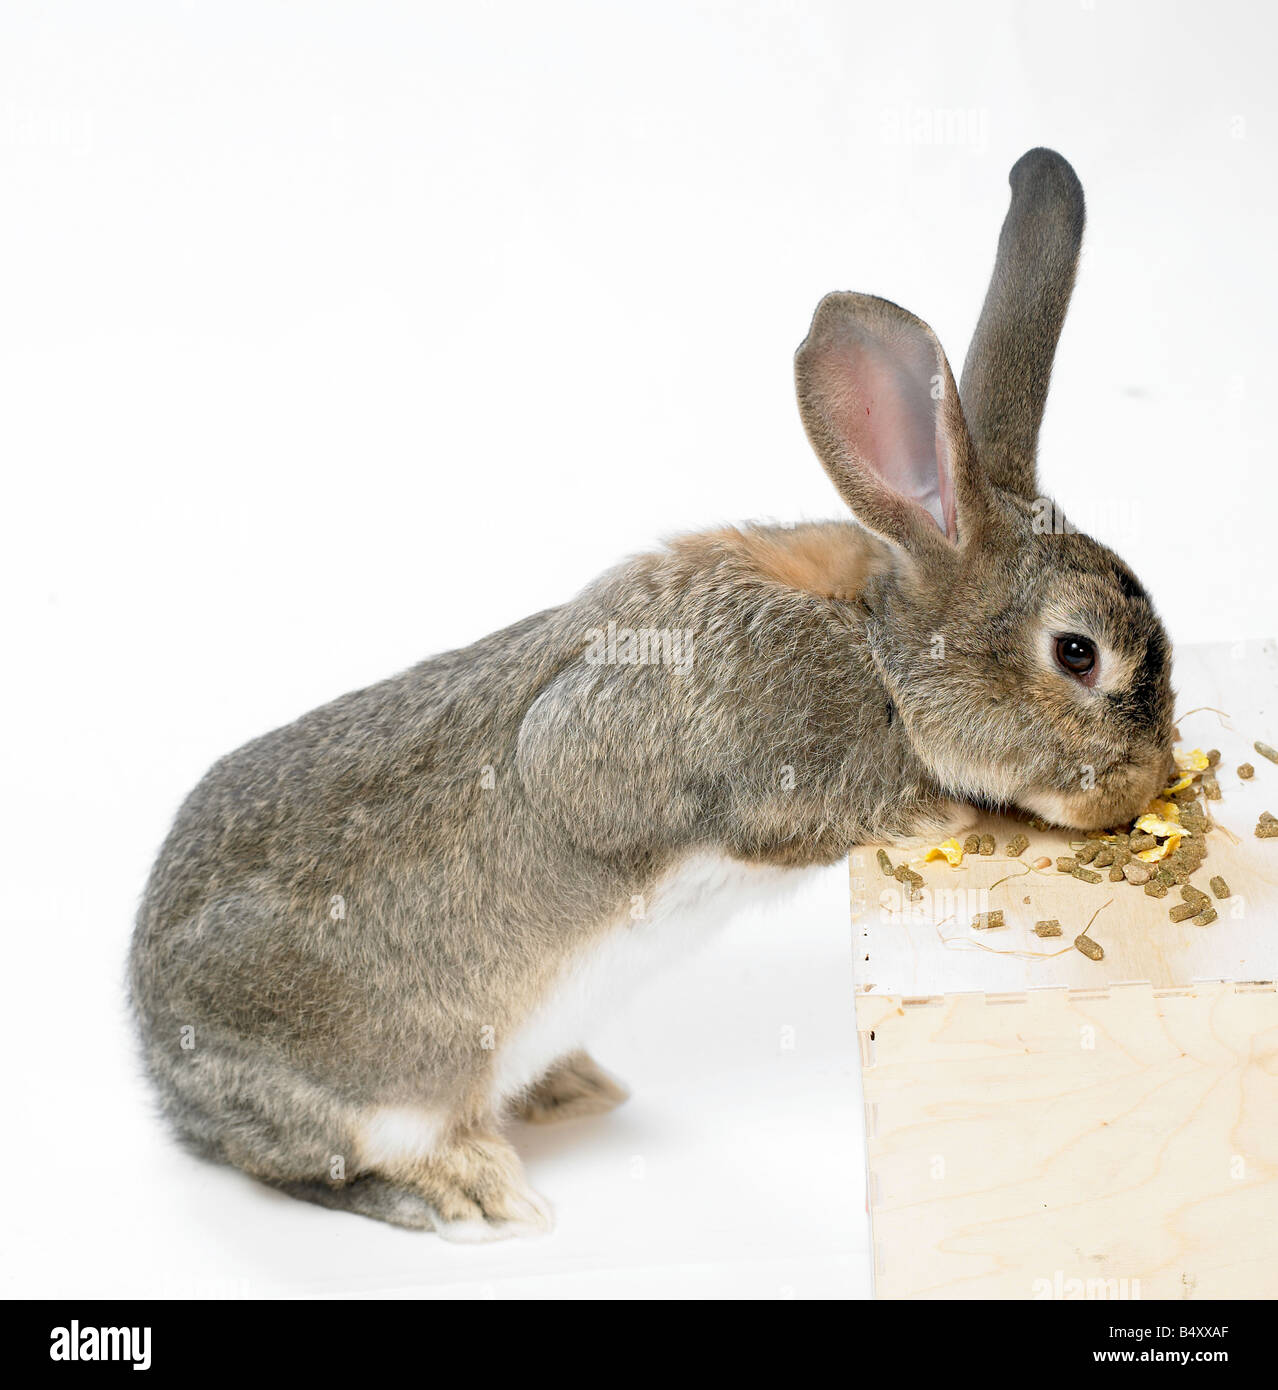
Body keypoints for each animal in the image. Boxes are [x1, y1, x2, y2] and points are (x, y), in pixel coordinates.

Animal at [129, 148, 1174, 1239]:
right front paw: (947, 810)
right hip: (371, 1089)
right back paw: (472, 1188)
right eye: (1077, 653)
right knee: (314, 1164)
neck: (879, 646)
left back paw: (566, 1087)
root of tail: (158, 1057)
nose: (1143, 785)